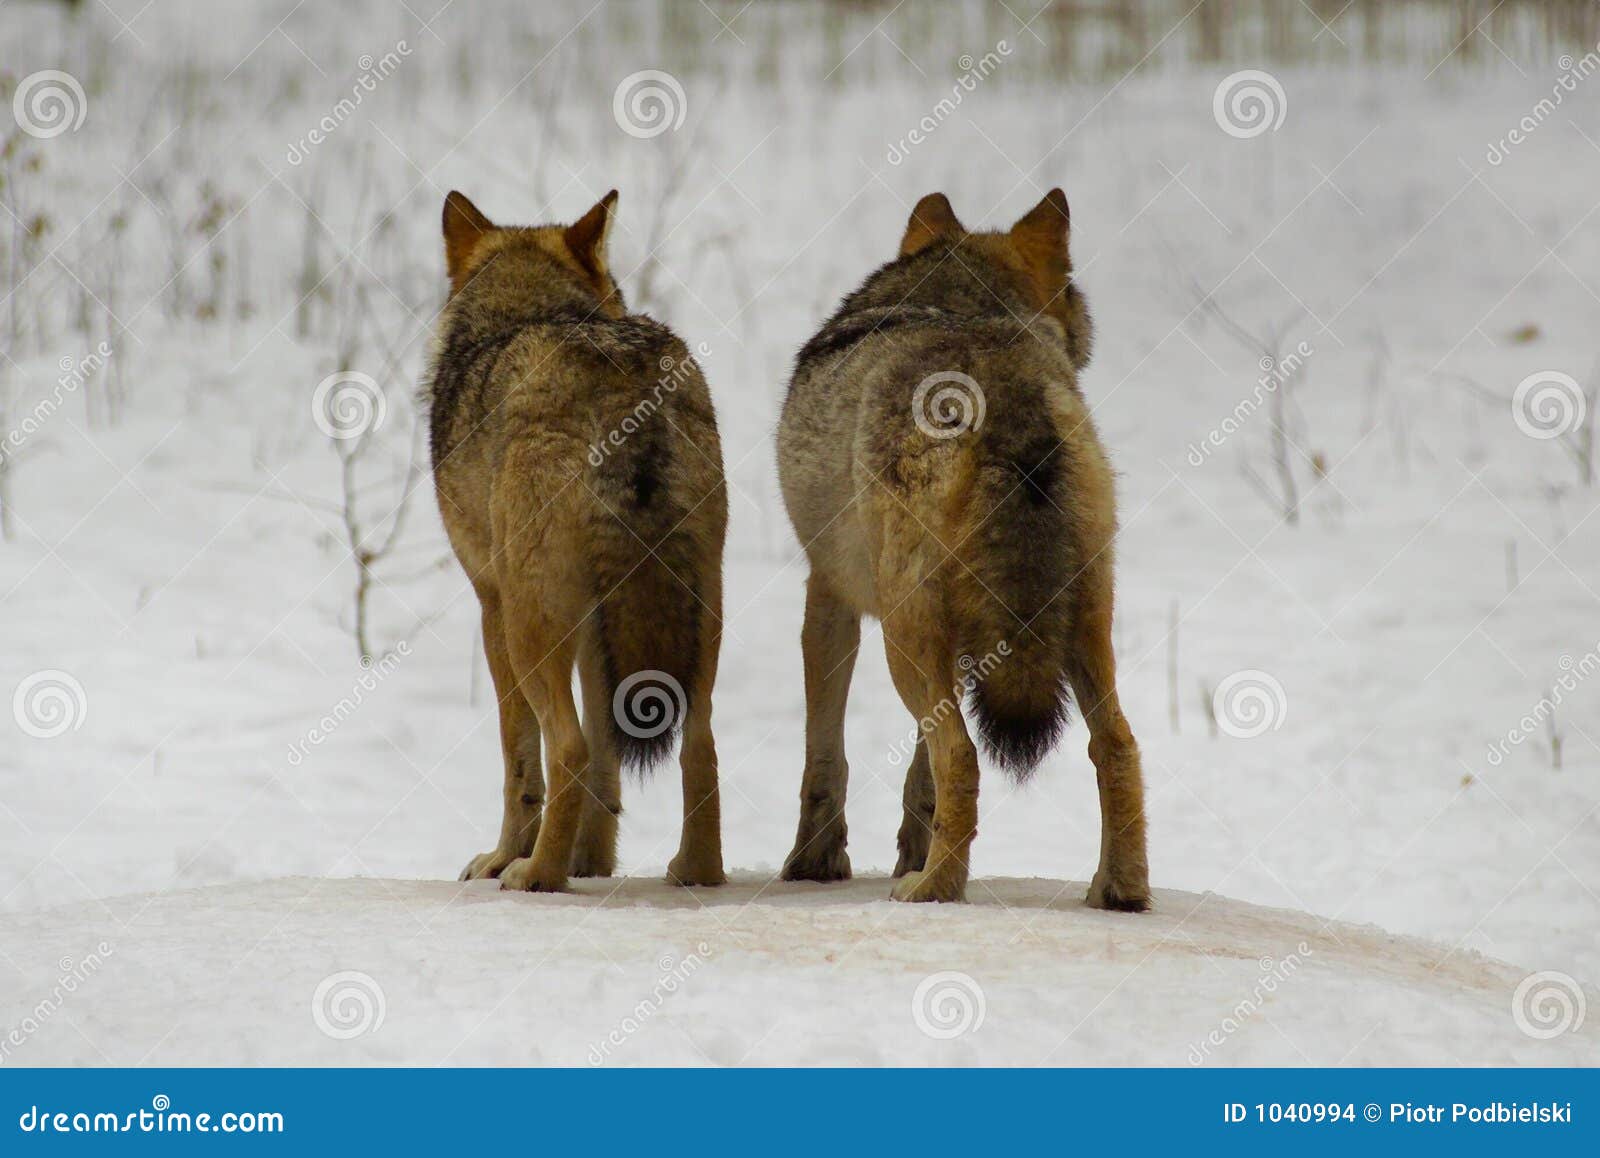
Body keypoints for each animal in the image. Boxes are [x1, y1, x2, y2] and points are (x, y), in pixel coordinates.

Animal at [425, 189, 728, 893]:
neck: (527, 310)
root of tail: (619, 376)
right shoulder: (596, 628)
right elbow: (607, 763)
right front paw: (591, 861)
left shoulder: (493, 606)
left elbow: (520, 759)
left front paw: (507, 857)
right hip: (699, 617)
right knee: (698, 745)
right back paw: (695, 872)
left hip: (531, 628)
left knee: (565, 746)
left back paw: (535, 874)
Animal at [776, 189, 1150, 908]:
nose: (1086, 325)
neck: (954, 299)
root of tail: (1005, 389)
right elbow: (920, 780)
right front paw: (907, 847)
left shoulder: (826, 596)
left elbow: (823, 756)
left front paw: (813, 861)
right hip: (1081, 627)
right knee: (1117, 746)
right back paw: (1118, 891)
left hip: (905, 636)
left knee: (963, 755)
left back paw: (932, 889)